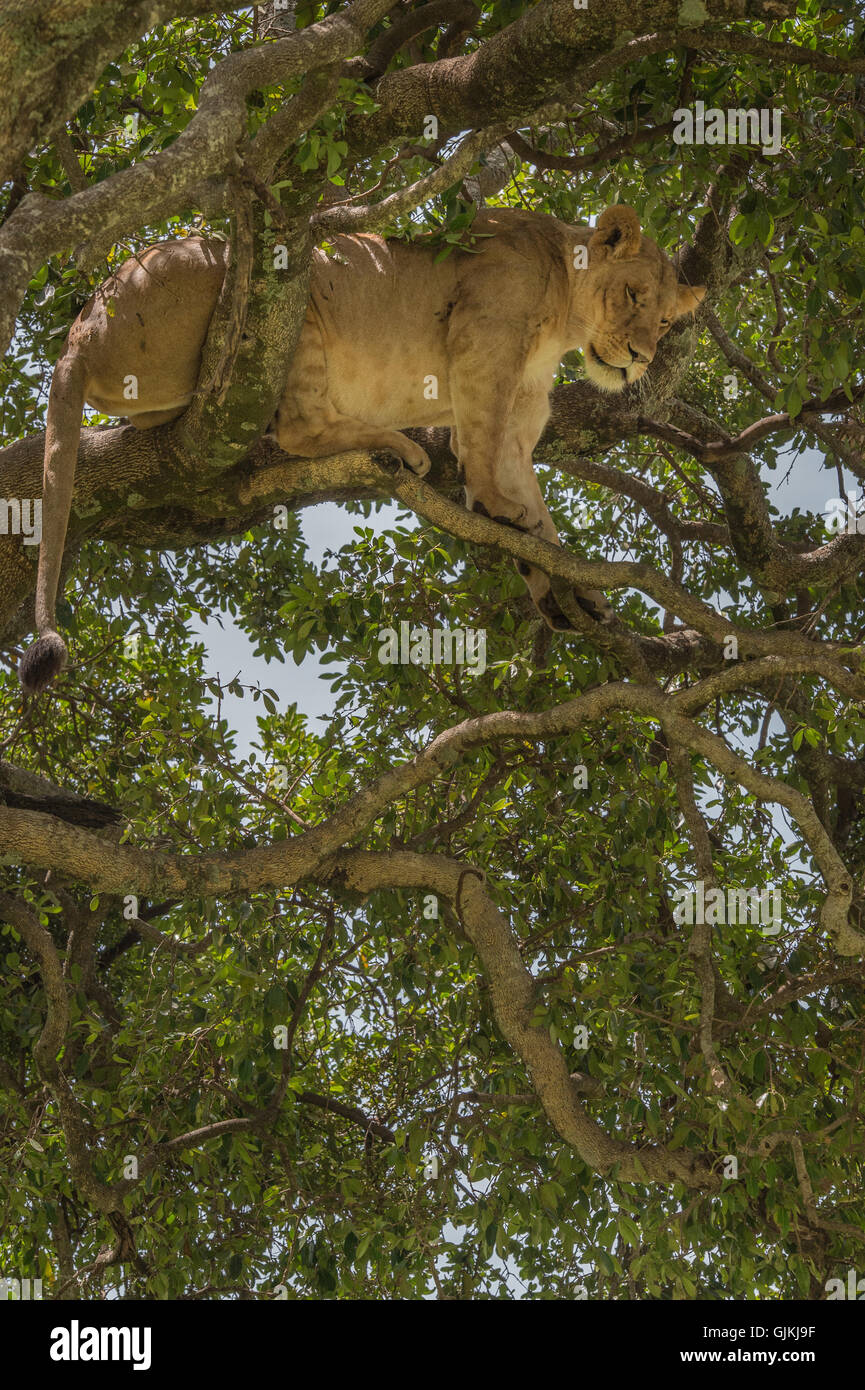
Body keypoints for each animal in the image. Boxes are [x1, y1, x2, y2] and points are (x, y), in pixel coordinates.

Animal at [18, 204, 704, 693]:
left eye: (667, 320)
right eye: (633, 296)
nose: (641, 356)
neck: (564, 317)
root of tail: (79, 332)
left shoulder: (523, 415)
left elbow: (539, 513)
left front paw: (568, 590)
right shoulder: (483, 341)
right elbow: (484, 457)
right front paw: (493, 508)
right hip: (283, 296)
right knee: (299, 425)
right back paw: (397, 447)